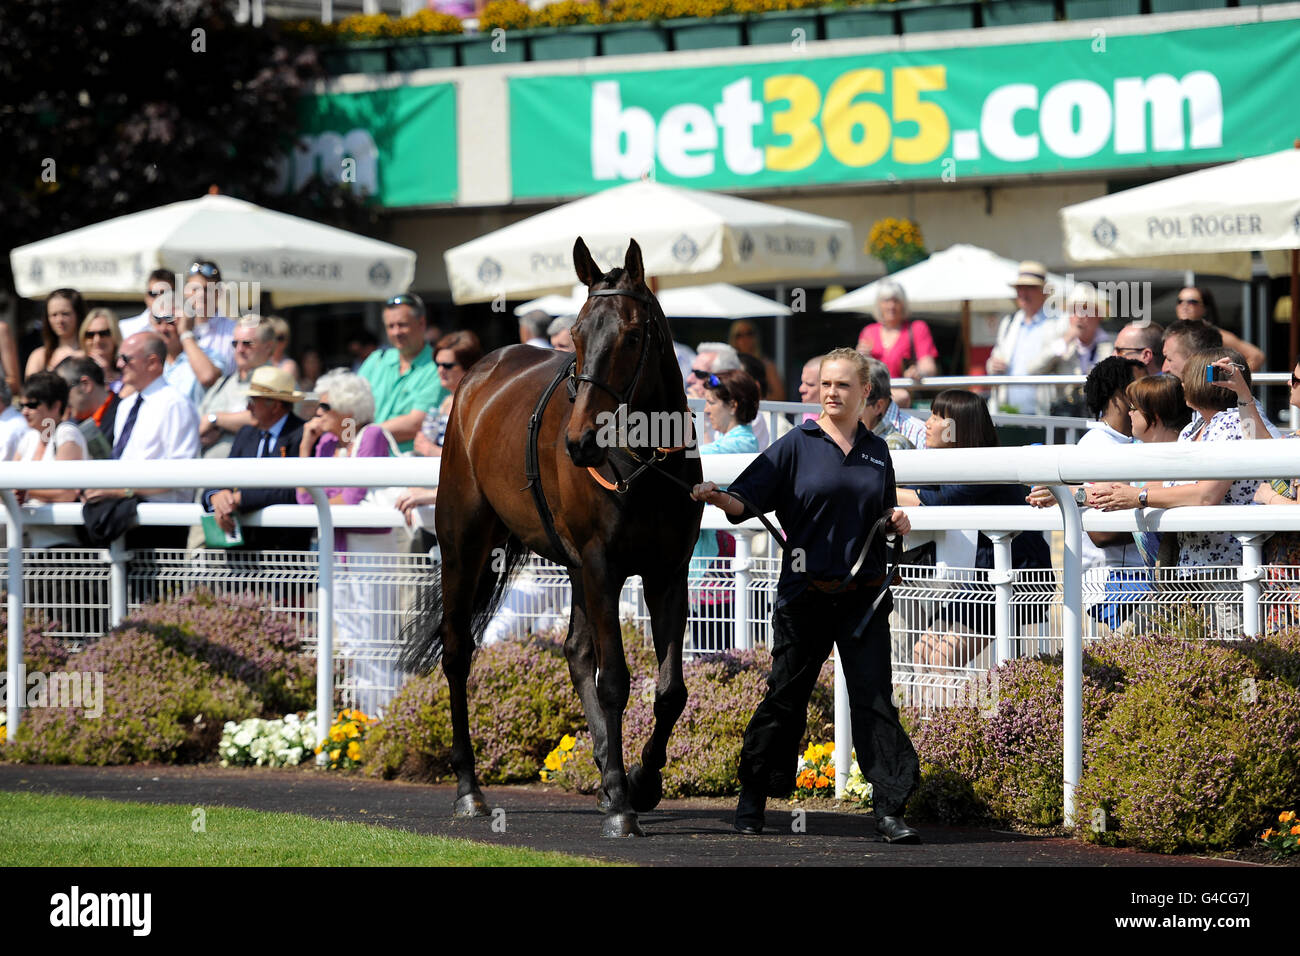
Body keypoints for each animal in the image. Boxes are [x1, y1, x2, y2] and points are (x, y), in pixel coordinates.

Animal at [401, 237, 704, 837]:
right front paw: (624, 805)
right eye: (578, 335)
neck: (641, 466)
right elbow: (615, 682)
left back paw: (608, 776)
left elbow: (669, 690)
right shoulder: (604, 564)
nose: (580, 441)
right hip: (465, 542)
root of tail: (481, 371)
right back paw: (469, 789)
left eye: (632, 336)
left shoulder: (667, 571)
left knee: (576, 652)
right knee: (457, 651)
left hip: (573, 565)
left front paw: (641, 781)